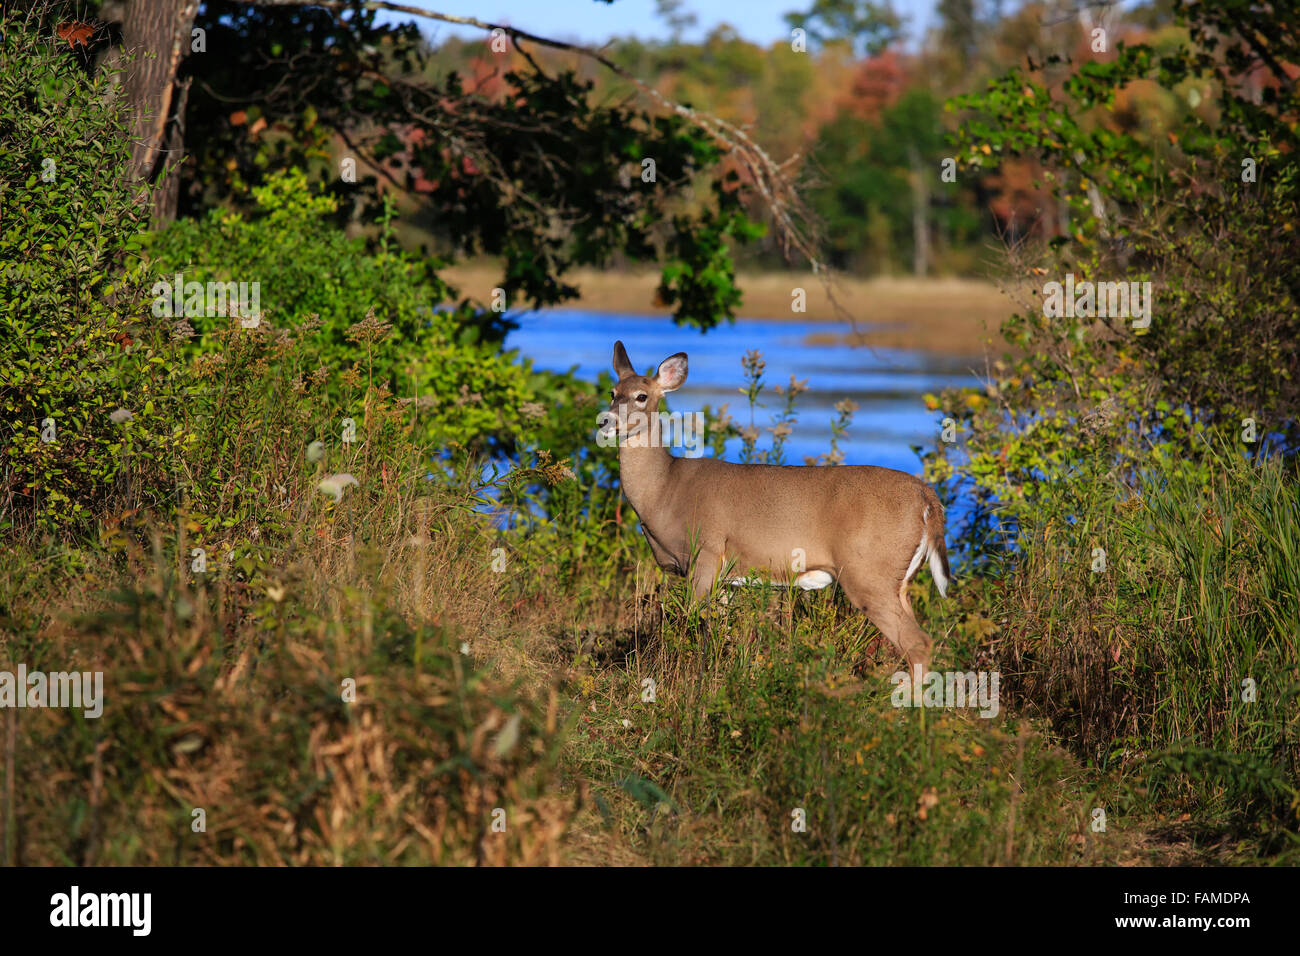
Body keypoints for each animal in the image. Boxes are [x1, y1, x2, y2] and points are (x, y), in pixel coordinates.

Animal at [597, 341, 950, 675]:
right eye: (613, 392)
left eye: (641, 396)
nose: (605, 420)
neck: (665, 491)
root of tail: (927, 498)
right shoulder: (725, 575)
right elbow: (723, 631)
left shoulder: (705, 553)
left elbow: (695, 627)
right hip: (898, 579)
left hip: (869, 570)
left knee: (918, 643)